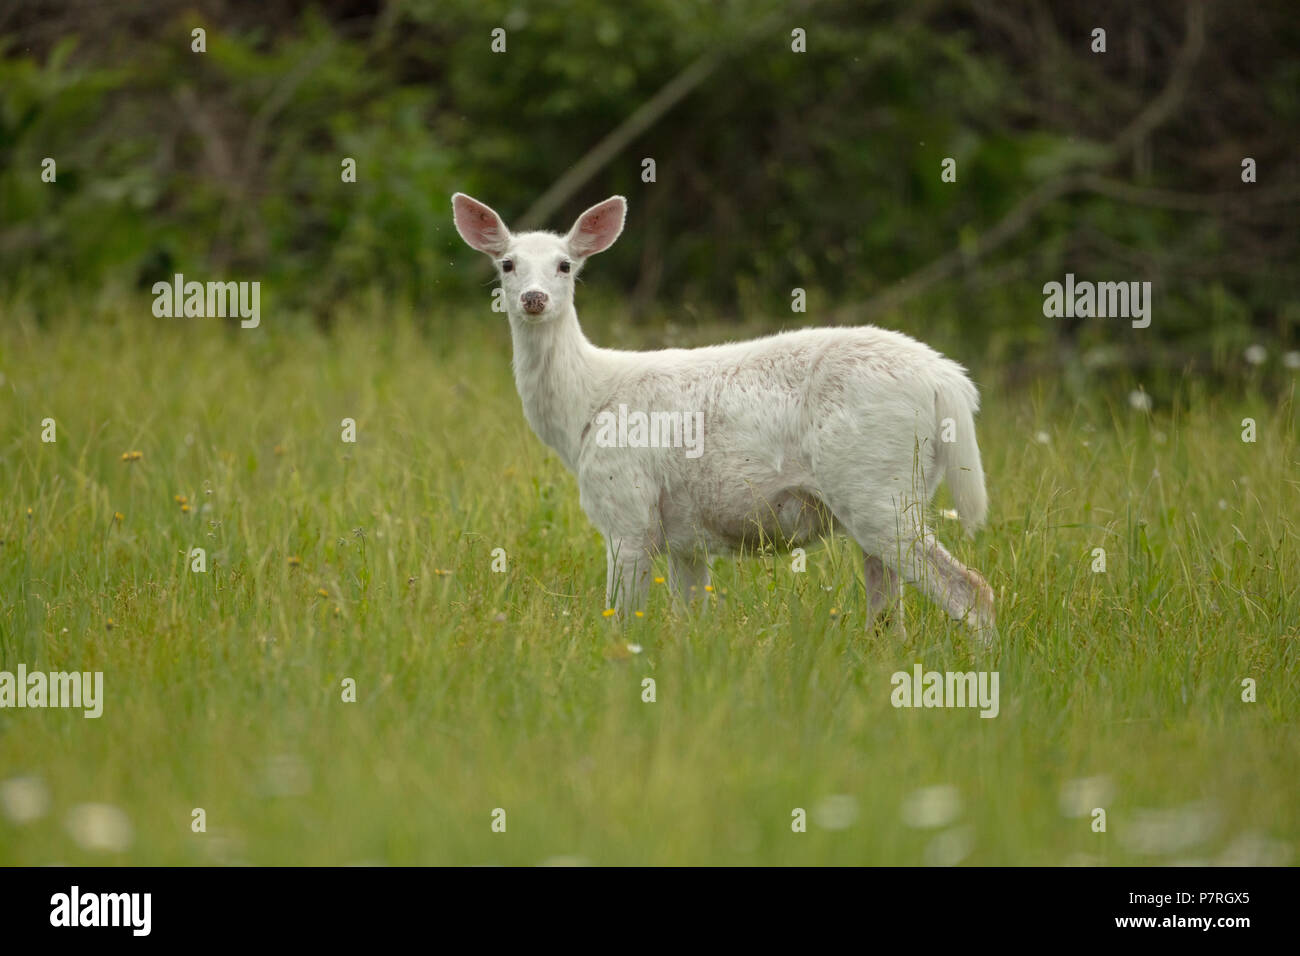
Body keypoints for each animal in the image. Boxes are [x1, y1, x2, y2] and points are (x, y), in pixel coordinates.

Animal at [452, 192, 997, 645]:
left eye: (565, 265)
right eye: (507, 264)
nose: (534, 298)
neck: (587, 404)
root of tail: (948, 382)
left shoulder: (626, 507)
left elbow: (621, 619)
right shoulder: (685, 538)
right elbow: (690, 617)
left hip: (875, 484)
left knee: (971, 590)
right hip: (893, 491)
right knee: (889, 614)